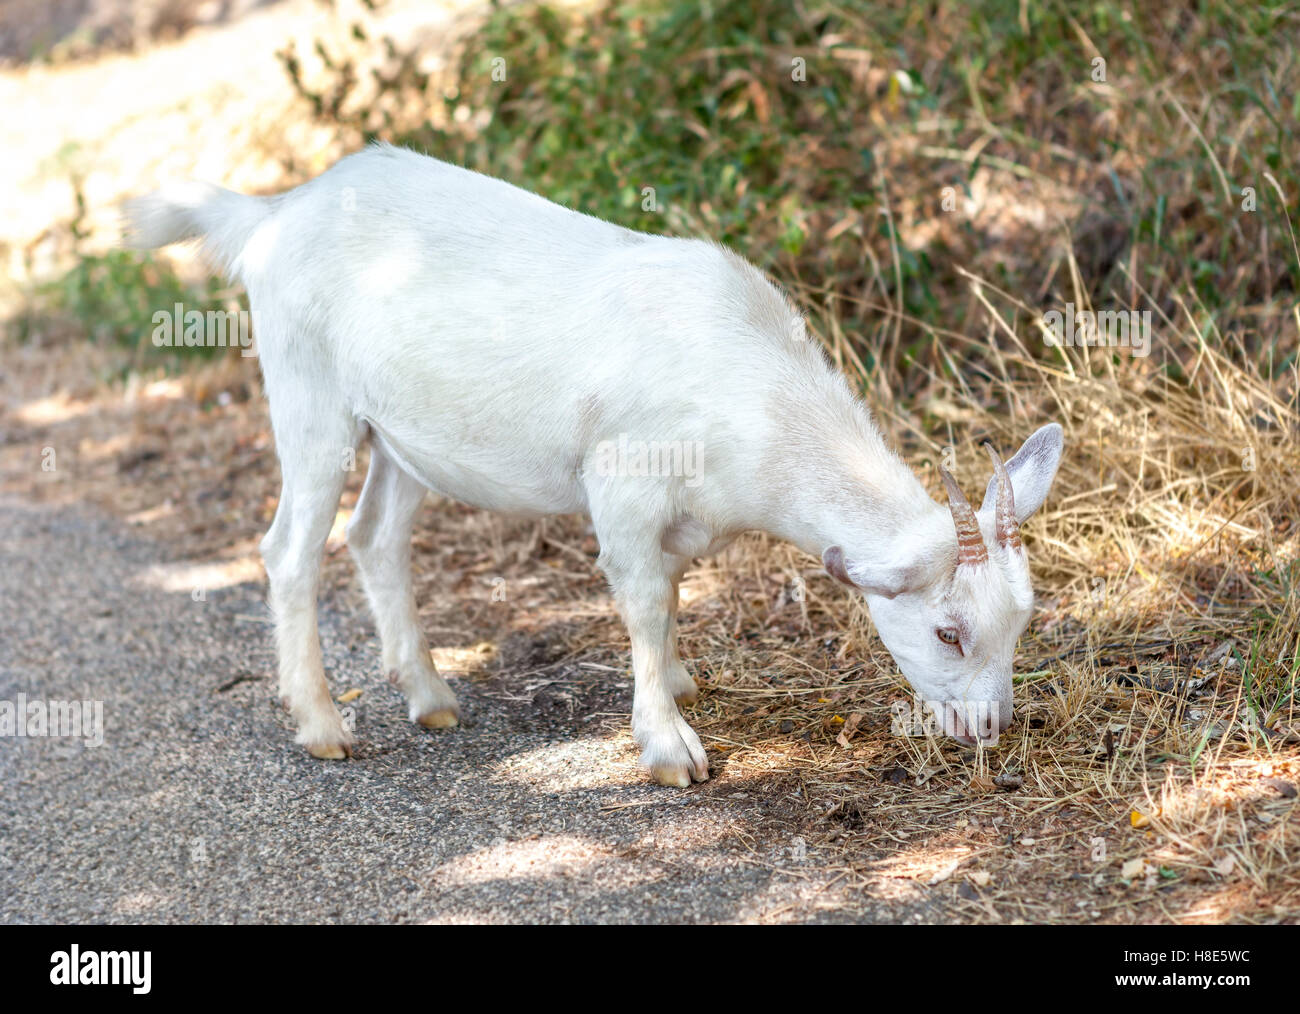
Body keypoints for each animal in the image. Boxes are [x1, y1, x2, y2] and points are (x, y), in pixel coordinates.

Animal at [125, 143, 1063, 787]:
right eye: (948, 631)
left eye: (1023, 622)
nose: (990, 727)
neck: (753, 394)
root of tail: (274, 213)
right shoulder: (624, 485)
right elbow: (643, 601)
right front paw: (669, 746)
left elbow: (674, 591)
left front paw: (680, 684)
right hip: (308, 393)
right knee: (289, 549)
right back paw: (323, 725)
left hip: (403, 436)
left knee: (374, 536)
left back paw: (430, 697)